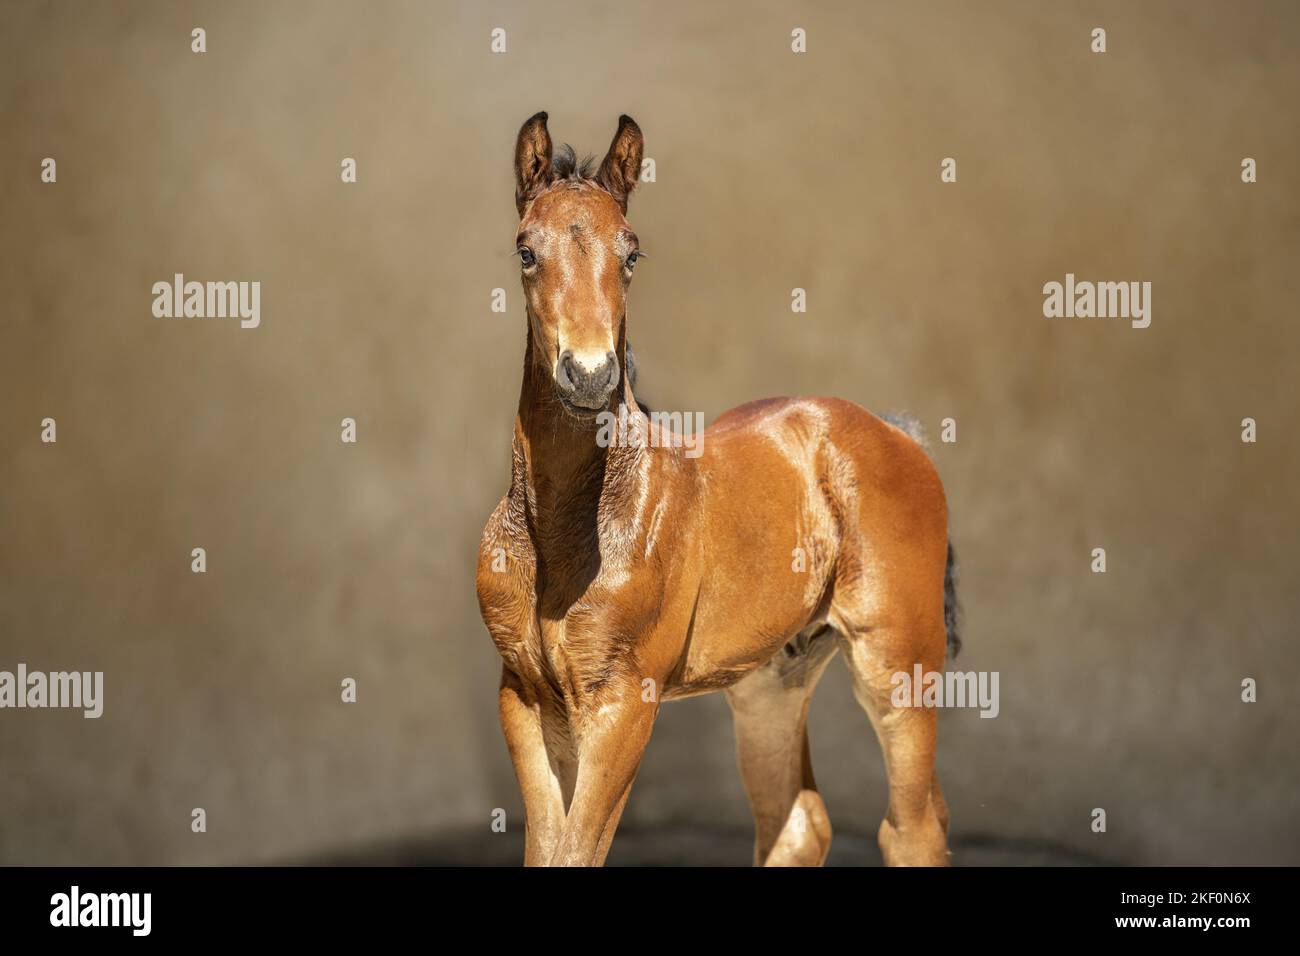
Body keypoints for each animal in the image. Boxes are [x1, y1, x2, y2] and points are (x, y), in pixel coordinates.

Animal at [476, 112, 960, 867]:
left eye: (632, 254)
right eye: (526, 251)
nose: (589, 374)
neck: (566, 529)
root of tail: (895, 431)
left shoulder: (623, 702)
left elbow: (579, 851)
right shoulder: (525, 696)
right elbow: (550, 851)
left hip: (897, 657)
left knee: (913, 827)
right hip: (772, 680)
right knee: (800, 822)